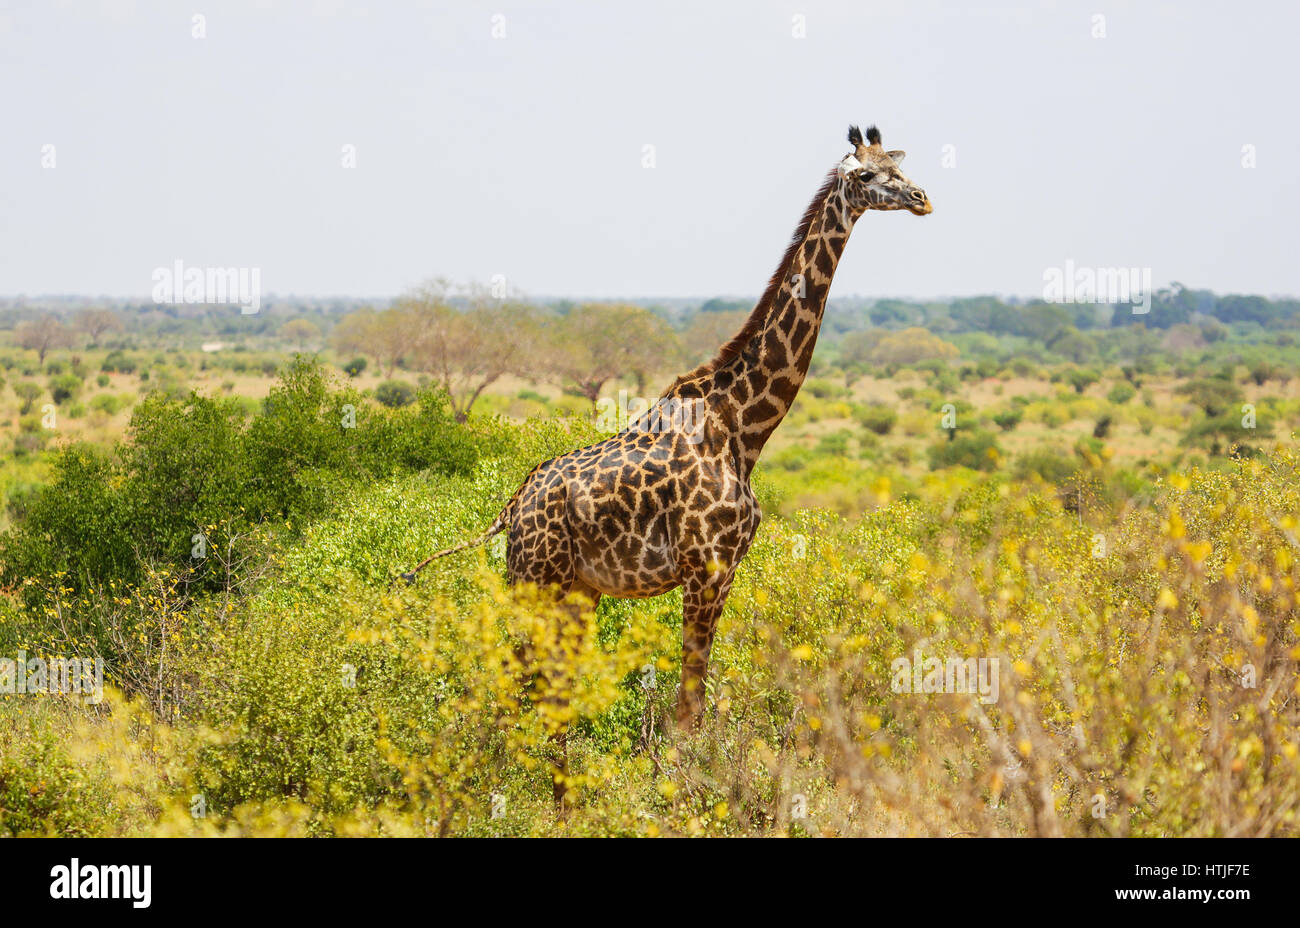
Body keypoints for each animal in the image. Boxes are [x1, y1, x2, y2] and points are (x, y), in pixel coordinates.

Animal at [402, 124, 931, 753]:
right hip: (536, 578)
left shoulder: (727, 570)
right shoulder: (703, 568)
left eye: (899, 165)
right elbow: (689, 705)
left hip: (575, 587)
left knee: (551, 692)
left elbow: (693, 697)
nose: (922, 198)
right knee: (515, 682)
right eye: (869, 176)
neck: (744, 427)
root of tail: (511, 507)